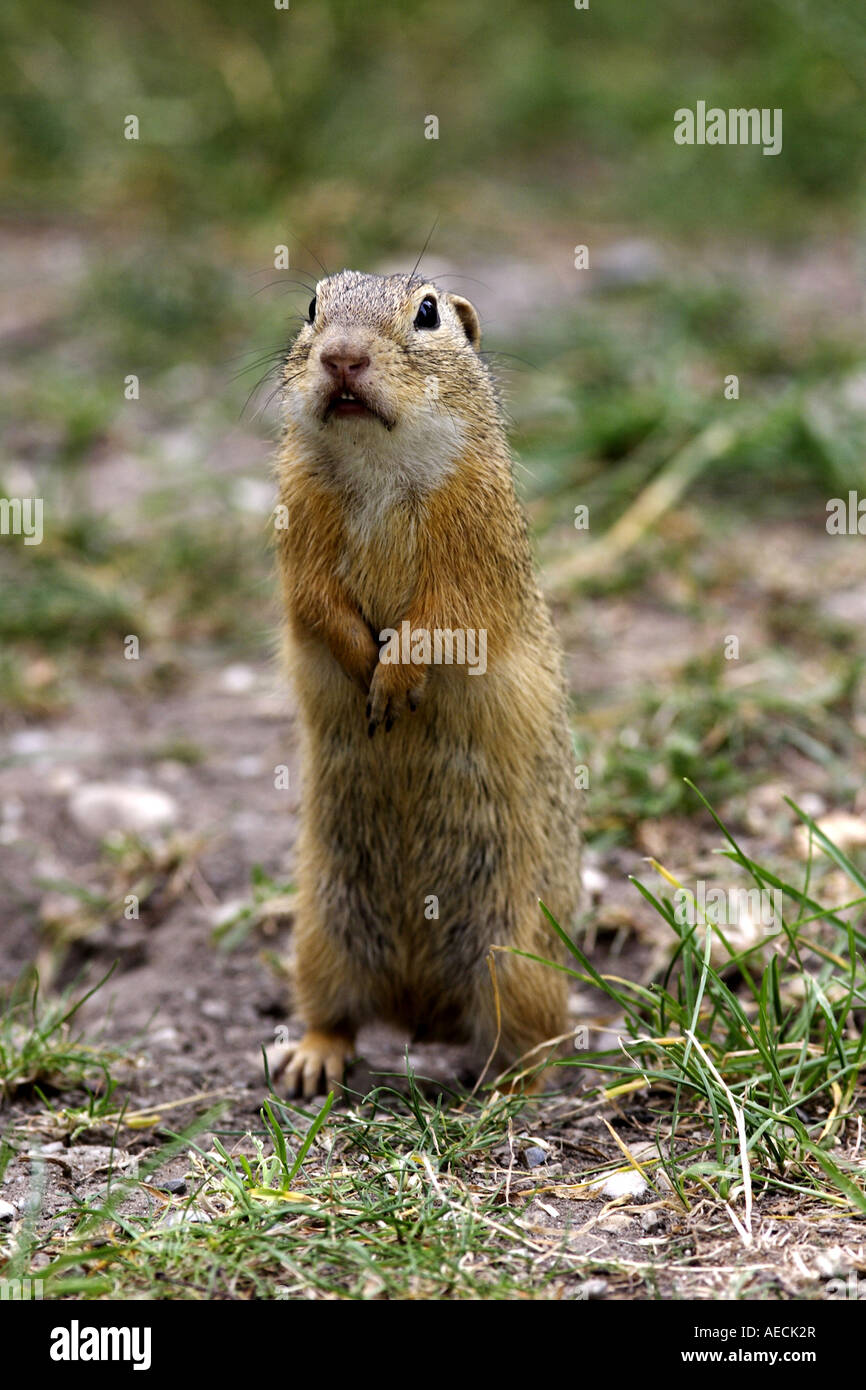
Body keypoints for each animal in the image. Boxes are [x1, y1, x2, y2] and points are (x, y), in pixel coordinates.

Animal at [271, 269, 581, 1097]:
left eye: (429, 312)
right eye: (312, 307)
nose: (343, 358)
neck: (377, 463)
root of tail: (420, 1009)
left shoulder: (474, 538)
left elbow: (446, 619)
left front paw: (395, 680)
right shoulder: (298, 525)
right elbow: (315, 601)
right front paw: (363, 669)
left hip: (515, 958)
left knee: (534, 1038)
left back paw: (511, 1084)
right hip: (321, 934)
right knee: (336, 1013)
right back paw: (312, 1059)